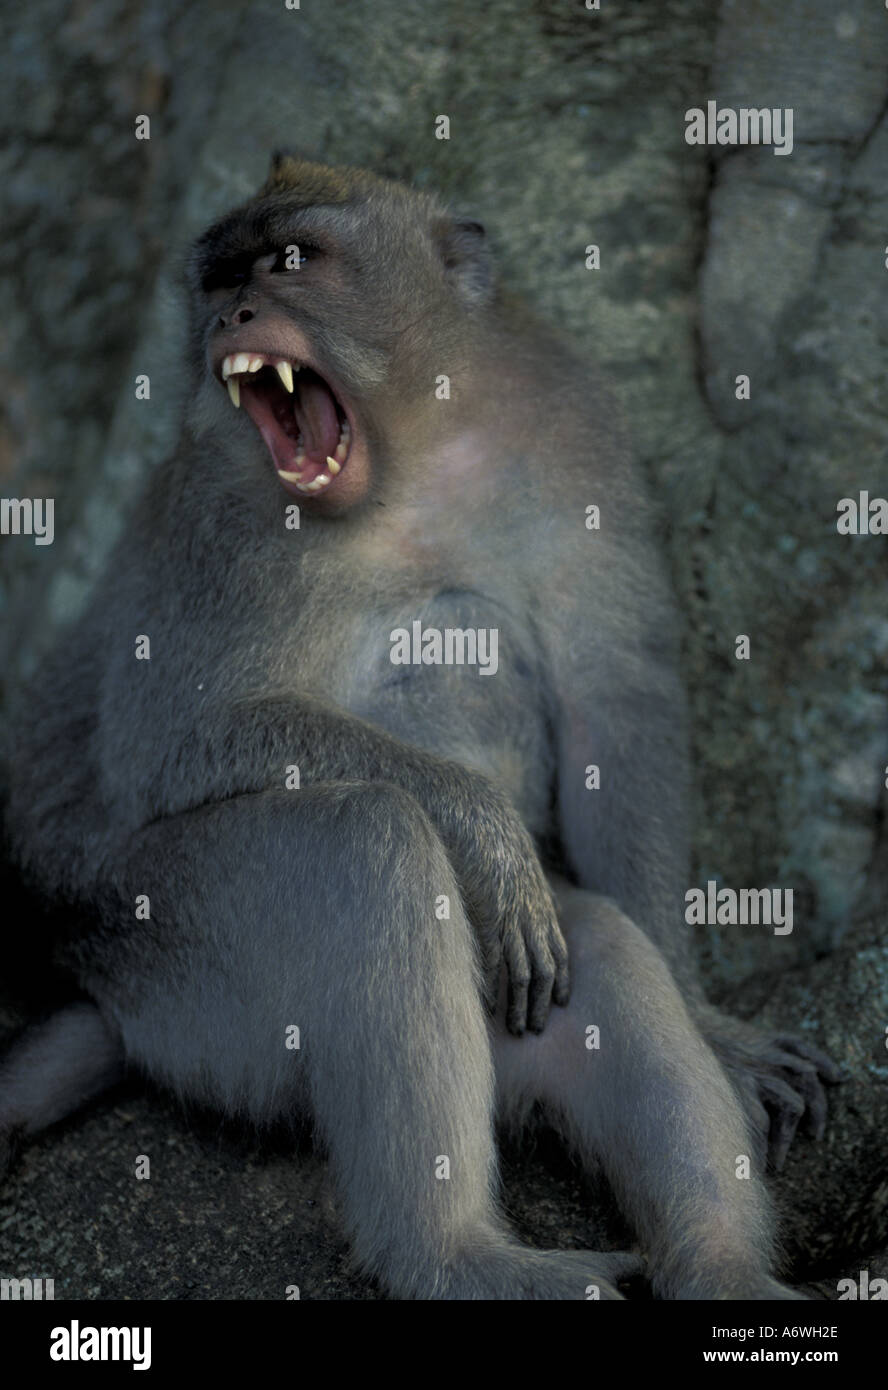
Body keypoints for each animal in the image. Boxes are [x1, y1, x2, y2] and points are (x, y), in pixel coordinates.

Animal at [0, 153, 840, 1300]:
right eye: (216, 278)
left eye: (291, 259)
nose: (229, 315)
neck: (415, 451)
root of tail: (105, 1003)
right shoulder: (225, 513)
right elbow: (167, 738)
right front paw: (478, 822)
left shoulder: (571, 422)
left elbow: (614, 699)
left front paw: (717, 1021)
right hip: (176, 969)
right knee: (367, 845)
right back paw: (454, 1258)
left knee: (596, 950)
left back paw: (718, 1268)